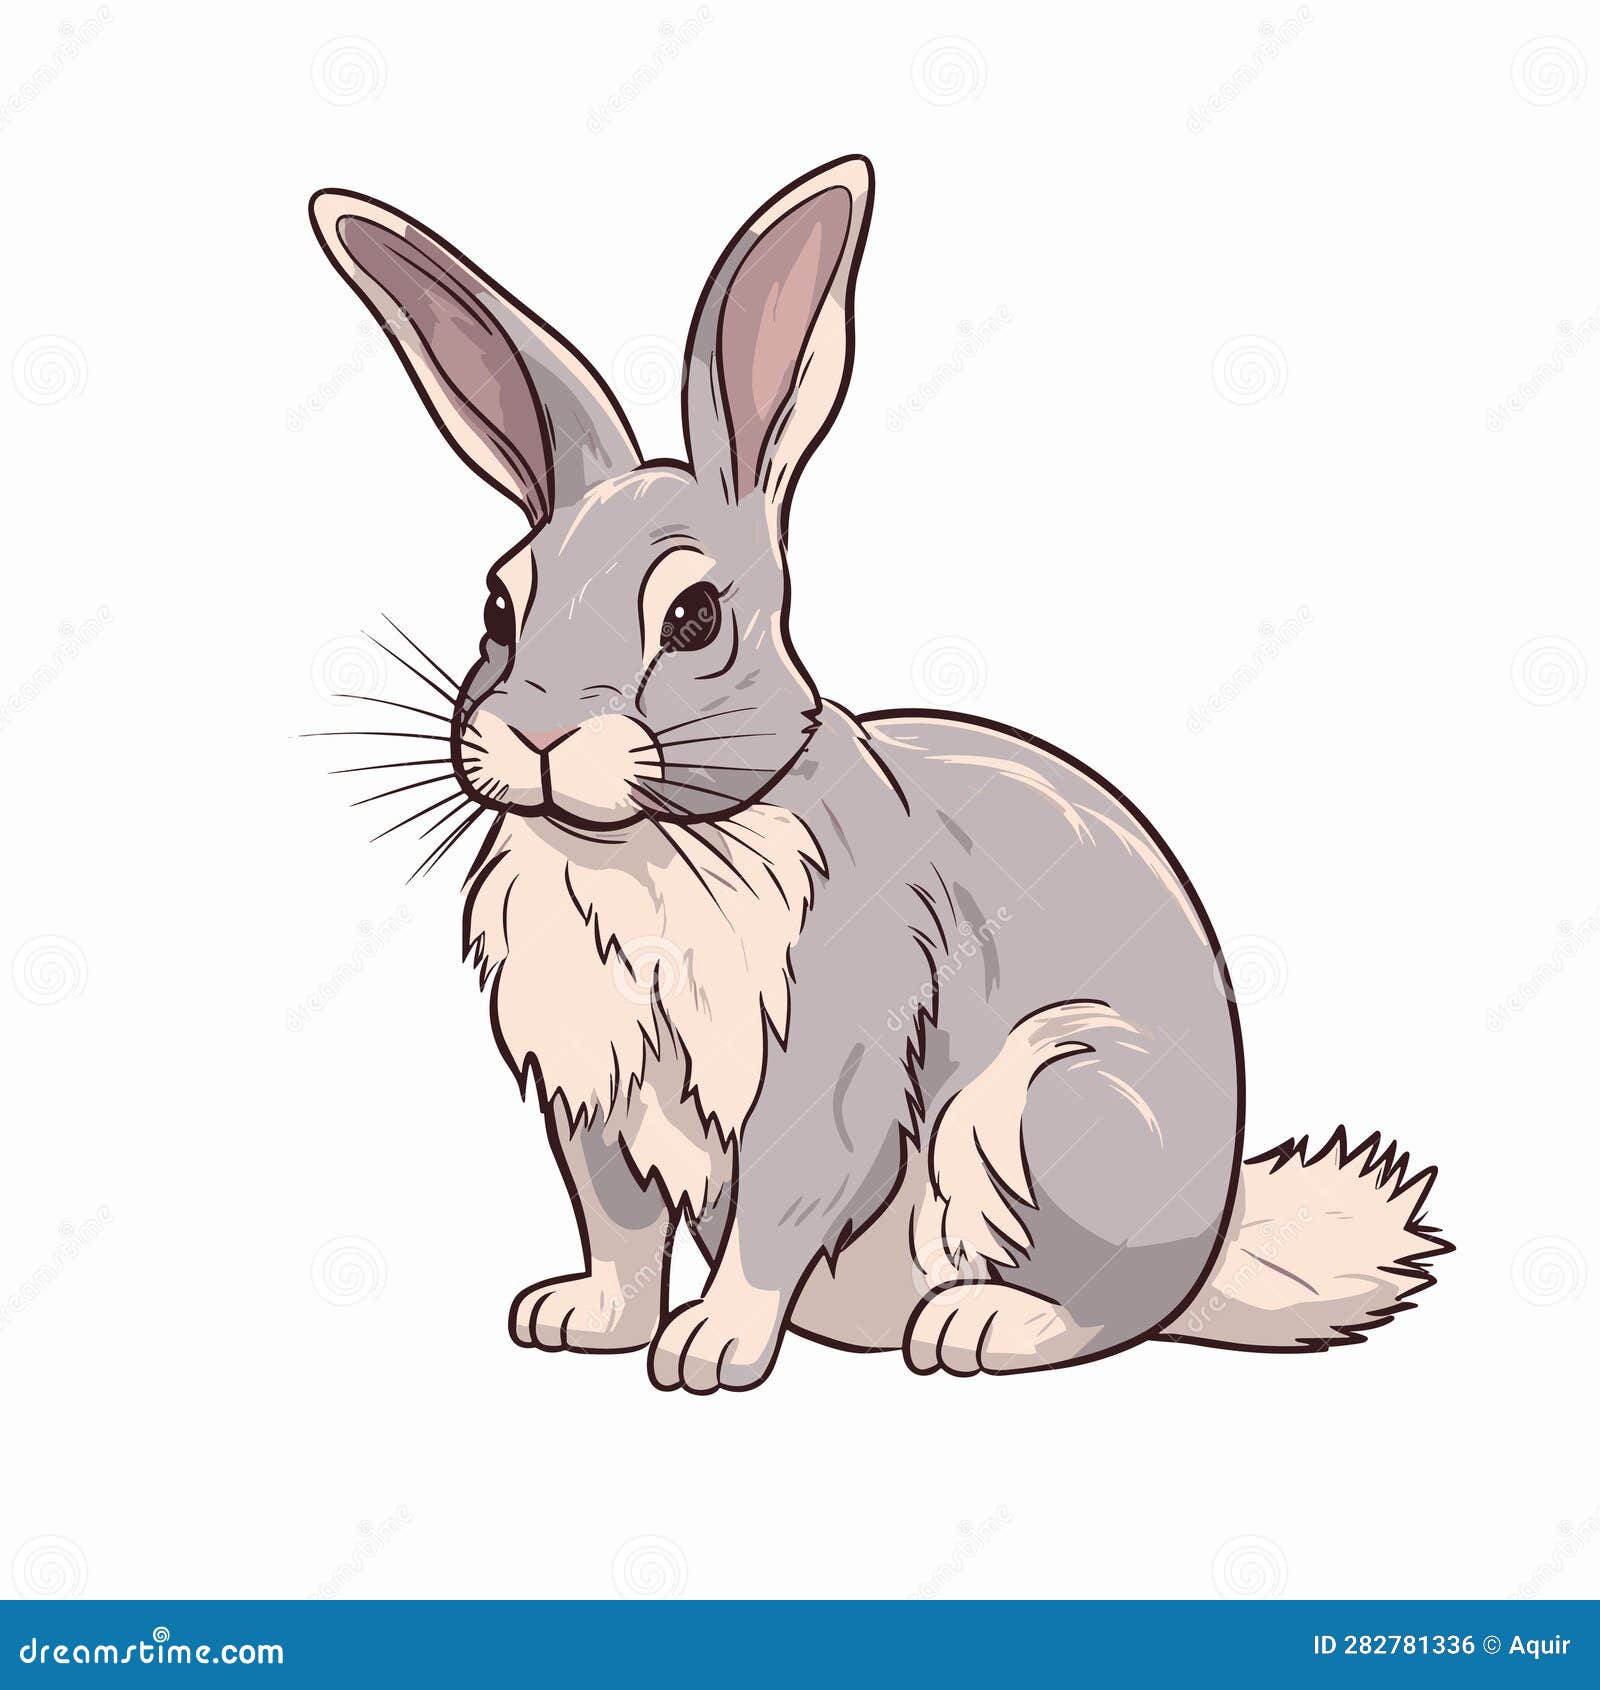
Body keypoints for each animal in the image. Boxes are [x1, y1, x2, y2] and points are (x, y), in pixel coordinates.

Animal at [309, 157, 1450, 1393]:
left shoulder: (827, 1063)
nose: (541, 736)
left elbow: (774, 1216)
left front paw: (708, 1350)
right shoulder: (594, 1097)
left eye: (695, 615)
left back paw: (979, 1327)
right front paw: (584, 1321)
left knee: (1110, 1304)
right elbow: (618, 1226)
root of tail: (1215, 1239)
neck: (647, 838)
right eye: (497, 606)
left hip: (1059, 1102)